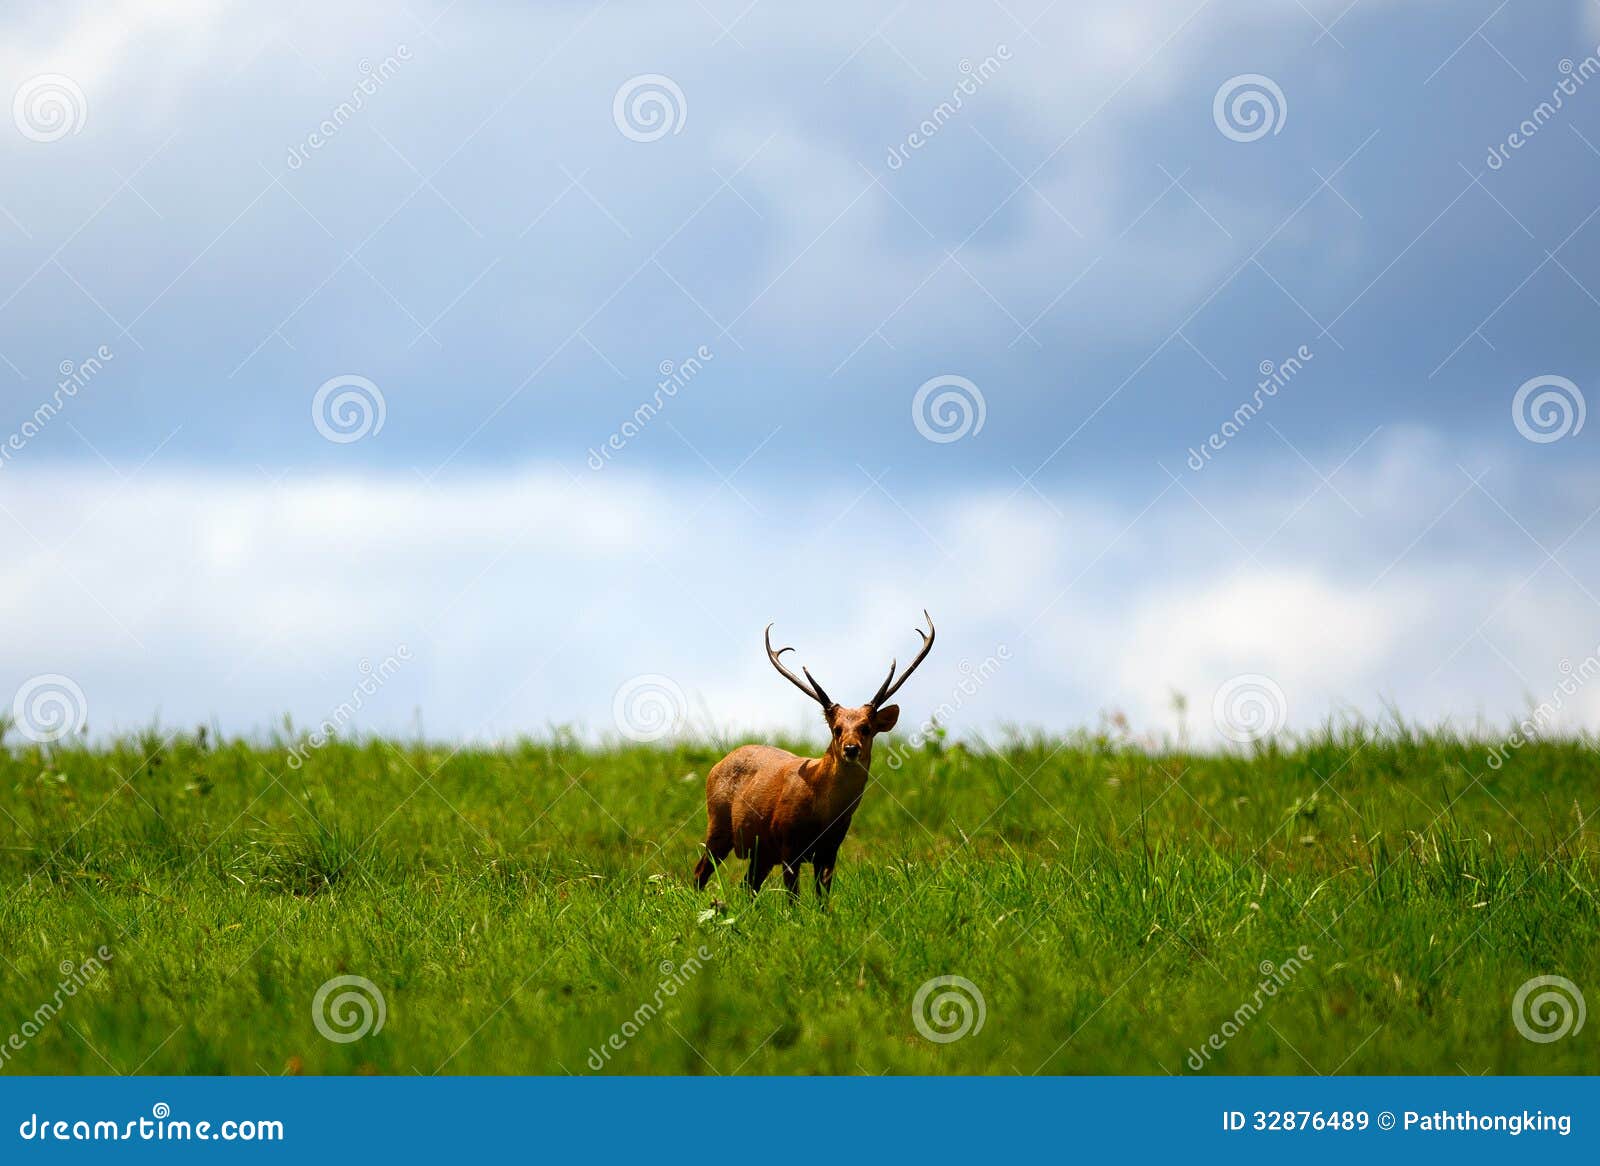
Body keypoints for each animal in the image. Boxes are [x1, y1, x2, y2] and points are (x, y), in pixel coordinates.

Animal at [693, 612, 934, 900]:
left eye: (866, 728)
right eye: (836, 728)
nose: (851, 749)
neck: (822, 814)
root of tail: (716, 765)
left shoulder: (830, 850)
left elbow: (822, 899)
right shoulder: (788, 844)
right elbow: (793, 899)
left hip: (761, 852)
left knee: (748, 885)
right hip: (718, 823)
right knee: (700, 871)